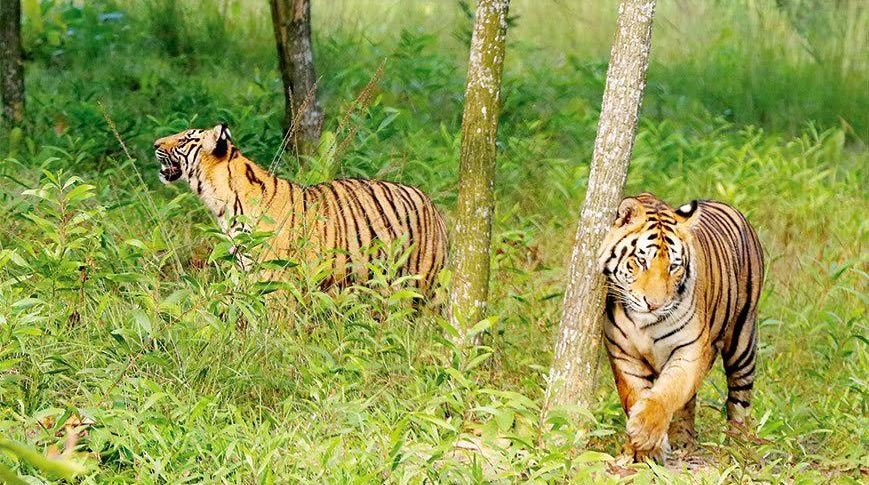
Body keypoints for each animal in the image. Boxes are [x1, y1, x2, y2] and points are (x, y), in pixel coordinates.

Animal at [153, 123, 449, 294]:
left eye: (184, 140)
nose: (155, 143)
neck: (221, 204)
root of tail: (432, 205)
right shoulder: (244, 270)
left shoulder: (276, 277)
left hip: (423, 285)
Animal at [598, 192, 764, 463]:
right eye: (641, 261)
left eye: (673, 266)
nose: (654, 304)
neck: (646, 325)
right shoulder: (623, 353)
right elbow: (635, 394)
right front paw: (643, 449)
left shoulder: (690, 351)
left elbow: (669, 391)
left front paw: (644, 430)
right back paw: (682, 441)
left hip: (743, 340)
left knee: (739, 397)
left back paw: (738, 445)